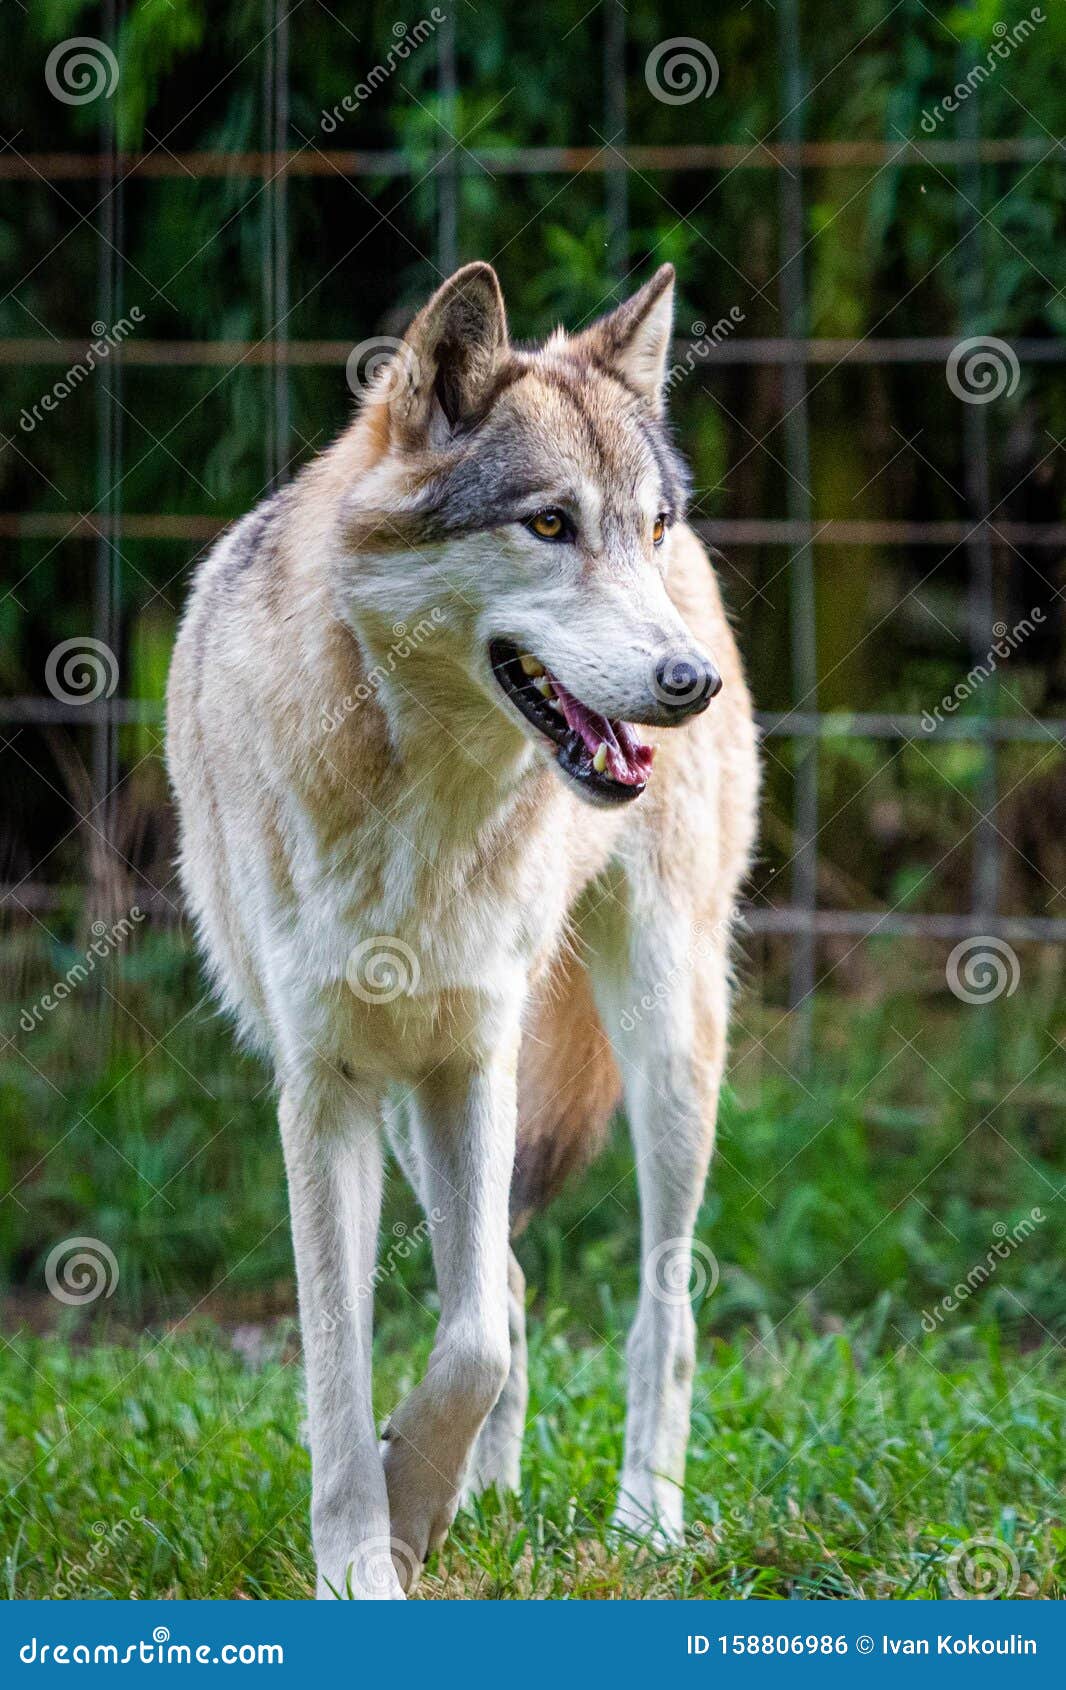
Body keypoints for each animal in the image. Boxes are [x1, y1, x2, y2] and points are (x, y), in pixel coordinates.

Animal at [167, 261, 759, 1598]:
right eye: (547, 526)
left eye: (642, 525)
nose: (687, 683)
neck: (423, 805)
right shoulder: (327, 1086)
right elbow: (354, 1364)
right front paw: (366, 1557)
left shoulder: (473, 1058)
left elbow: (472, 1334)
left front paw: (403, 1512)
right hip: (408, 1108)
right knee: (516, 1278)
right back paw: (488, 1501)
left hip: (667, 1039)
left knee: (657, 1303)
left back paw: (644, 1522)